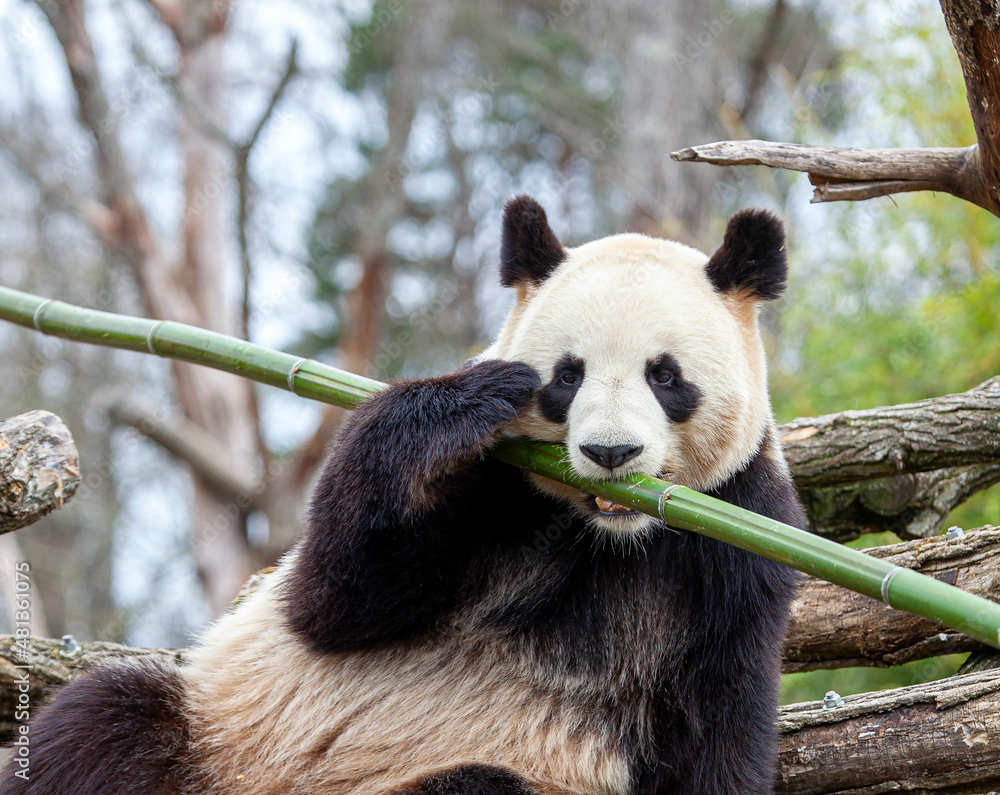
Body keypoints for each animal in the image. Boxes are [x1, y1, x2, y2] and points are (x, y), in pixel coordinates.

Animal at [4, 196, 804, 795]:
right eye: (566, 375)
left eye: (664, 376)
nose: (610, 454)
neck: (604, 536)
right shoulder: (496, 489)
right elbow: (336, 598)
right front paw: (468, 399)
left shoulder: (739, 539)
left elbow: (715, 718)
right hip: (215, 738)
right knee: (106, 723)